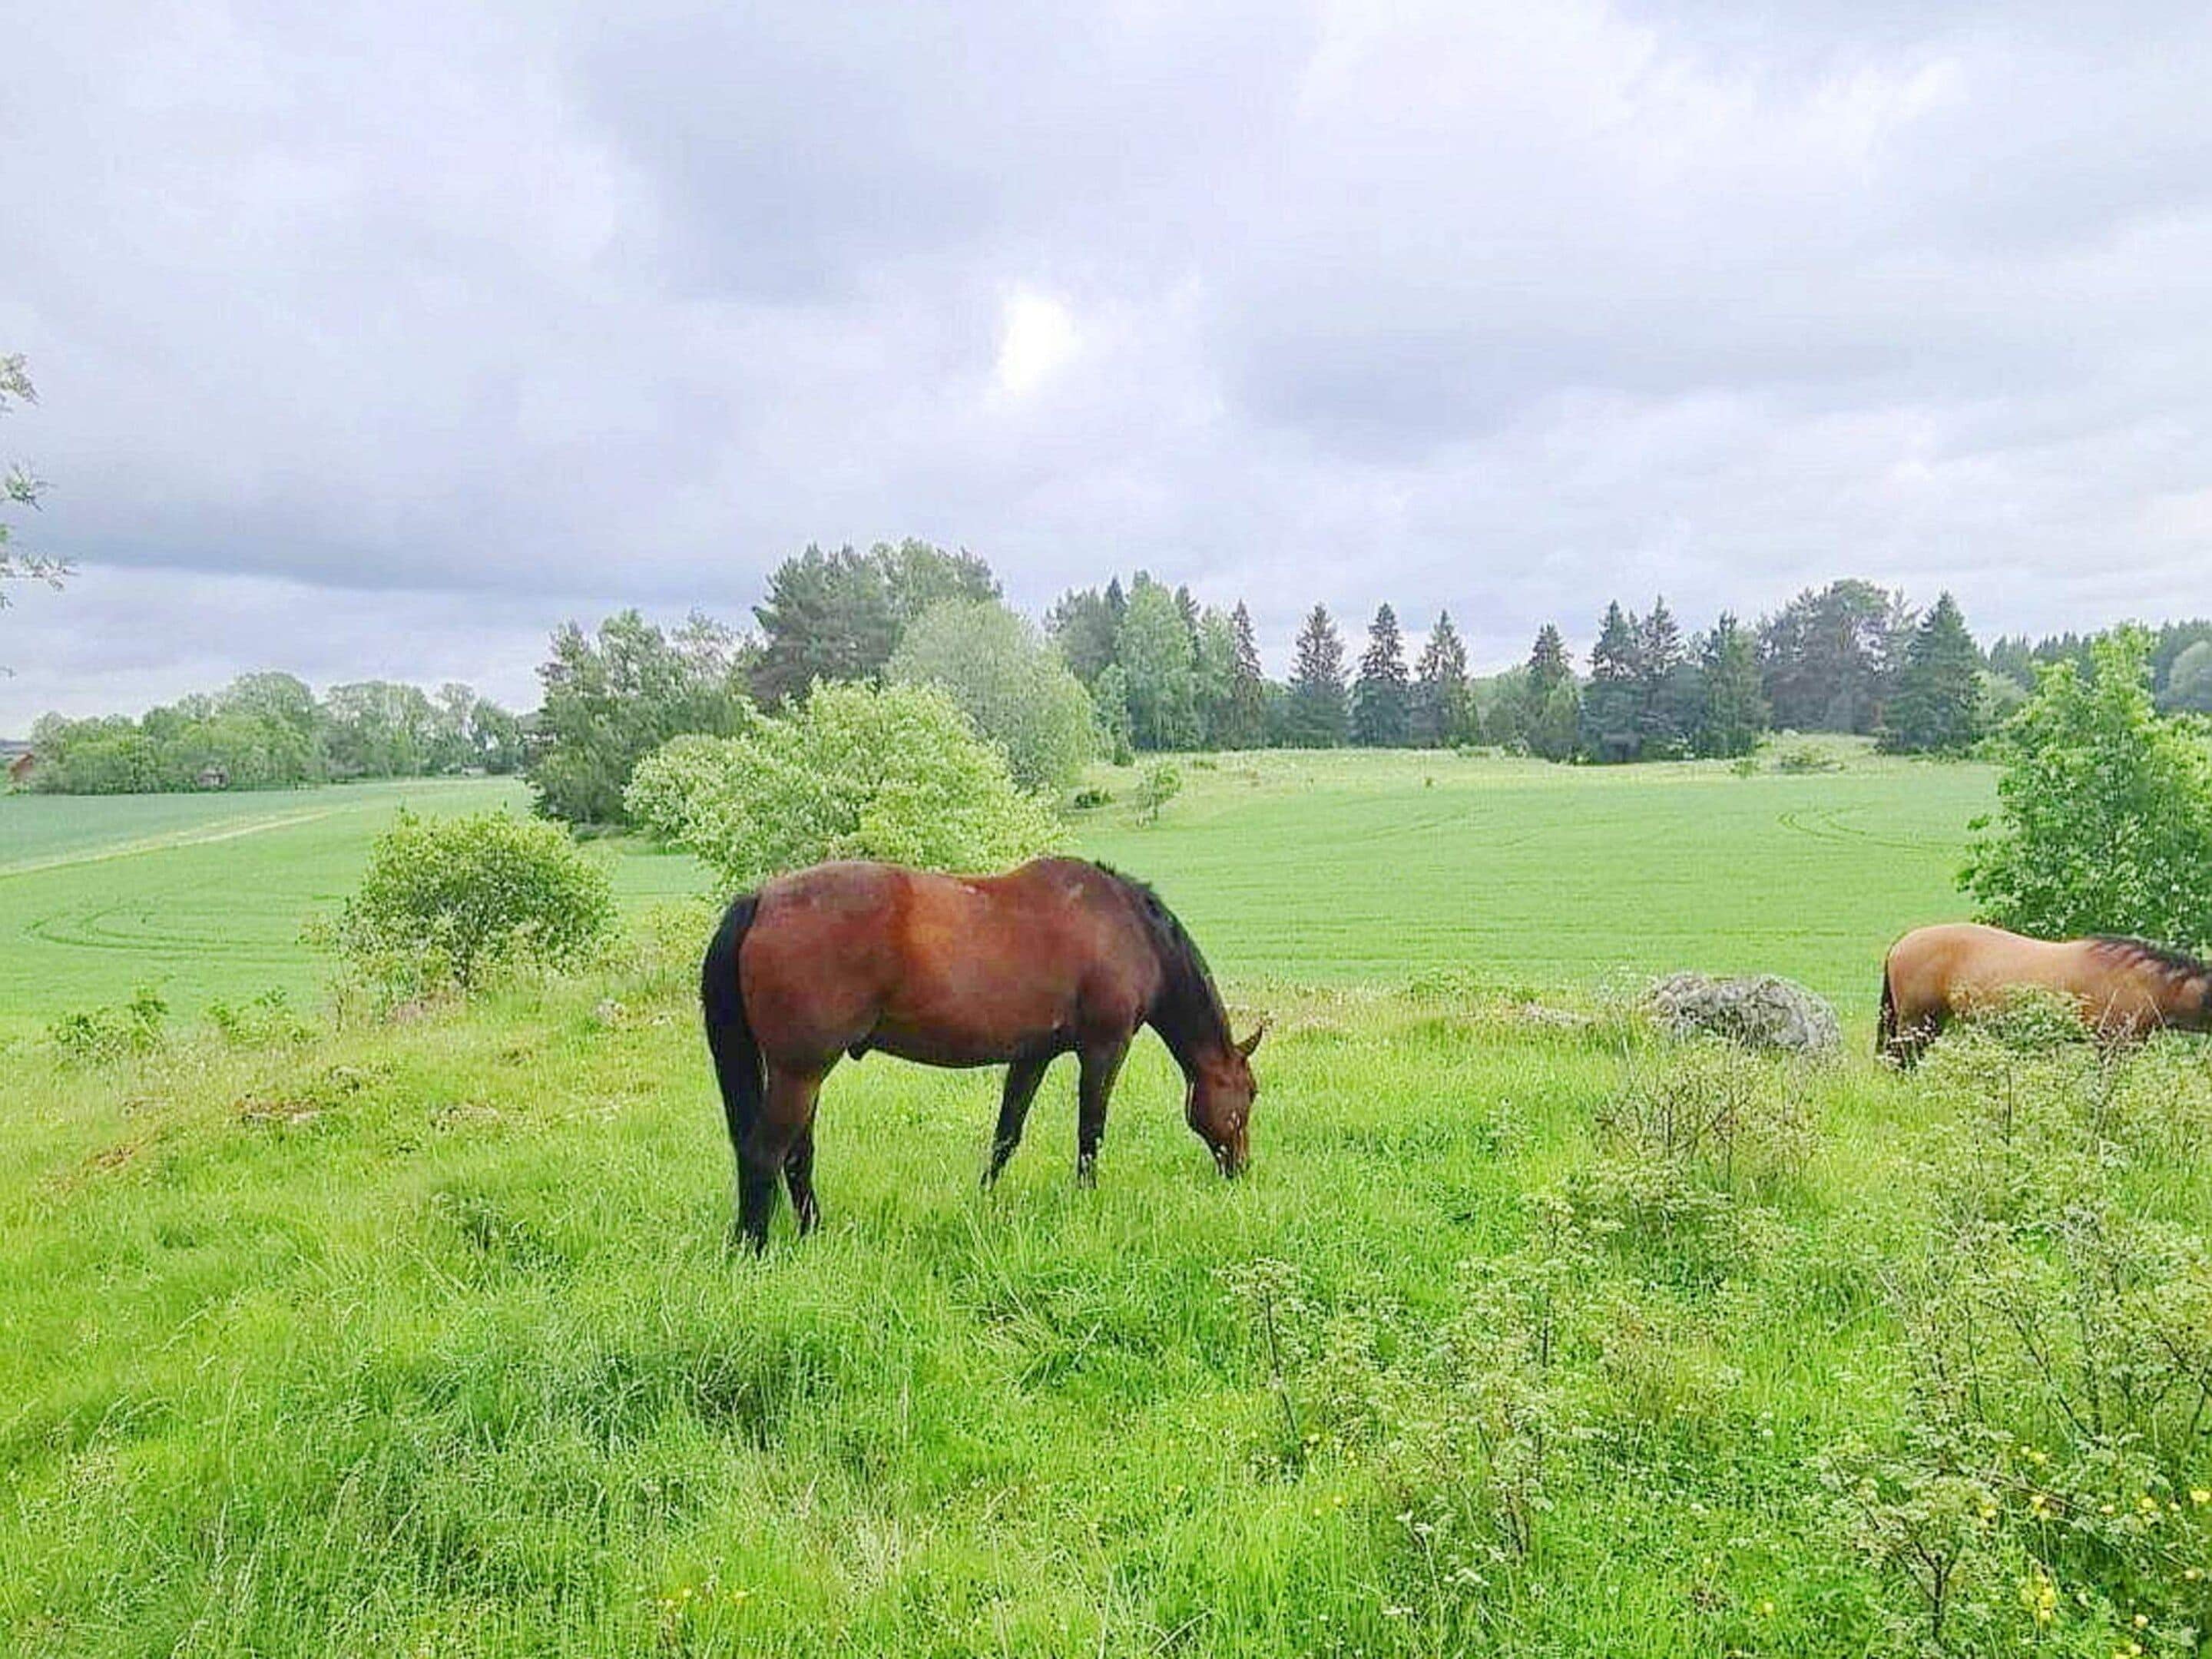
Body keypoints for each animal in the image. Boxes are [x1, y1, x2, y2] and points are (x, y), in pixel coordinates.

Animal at [699, 857, 1264, 1249]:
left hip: (801, 1074)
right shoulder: (1105, 1048)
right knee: (764, 1153)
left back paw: (813, 1231)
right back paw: (754, 1248)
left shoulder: (1032, 1055)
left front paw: (985, 1200)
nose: (1241, 1170)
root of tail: (761, 898)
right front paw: (1086, 1200)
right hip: (800, 1071)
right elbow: (1091, 1132)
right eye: (1251, 1094)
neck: (1124, 927)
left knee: (797, 1154)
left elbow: (1006, 1135)